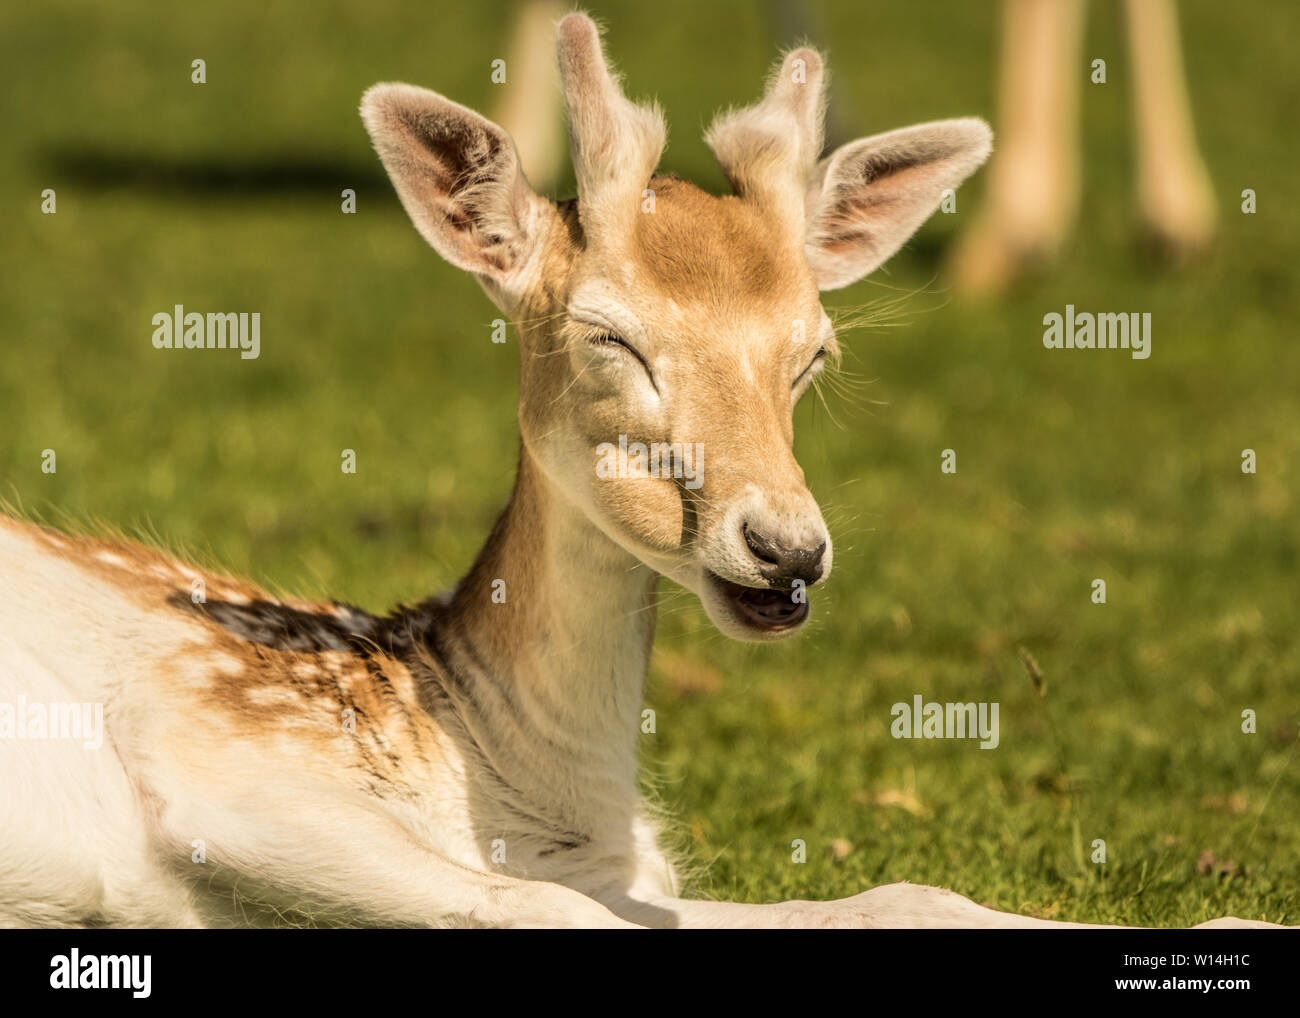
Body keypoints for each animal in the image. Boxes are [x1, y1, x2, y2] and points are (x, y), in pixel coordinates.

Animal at [0, 13, 1274, 929]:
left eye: (814, 352)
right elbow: (547, 911)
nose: (787, 548)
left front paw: (1237, 919)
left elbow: (894, 892)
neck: (514, 782)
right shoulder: (224, 757)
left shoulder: (633, 874)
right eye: (610, 336)